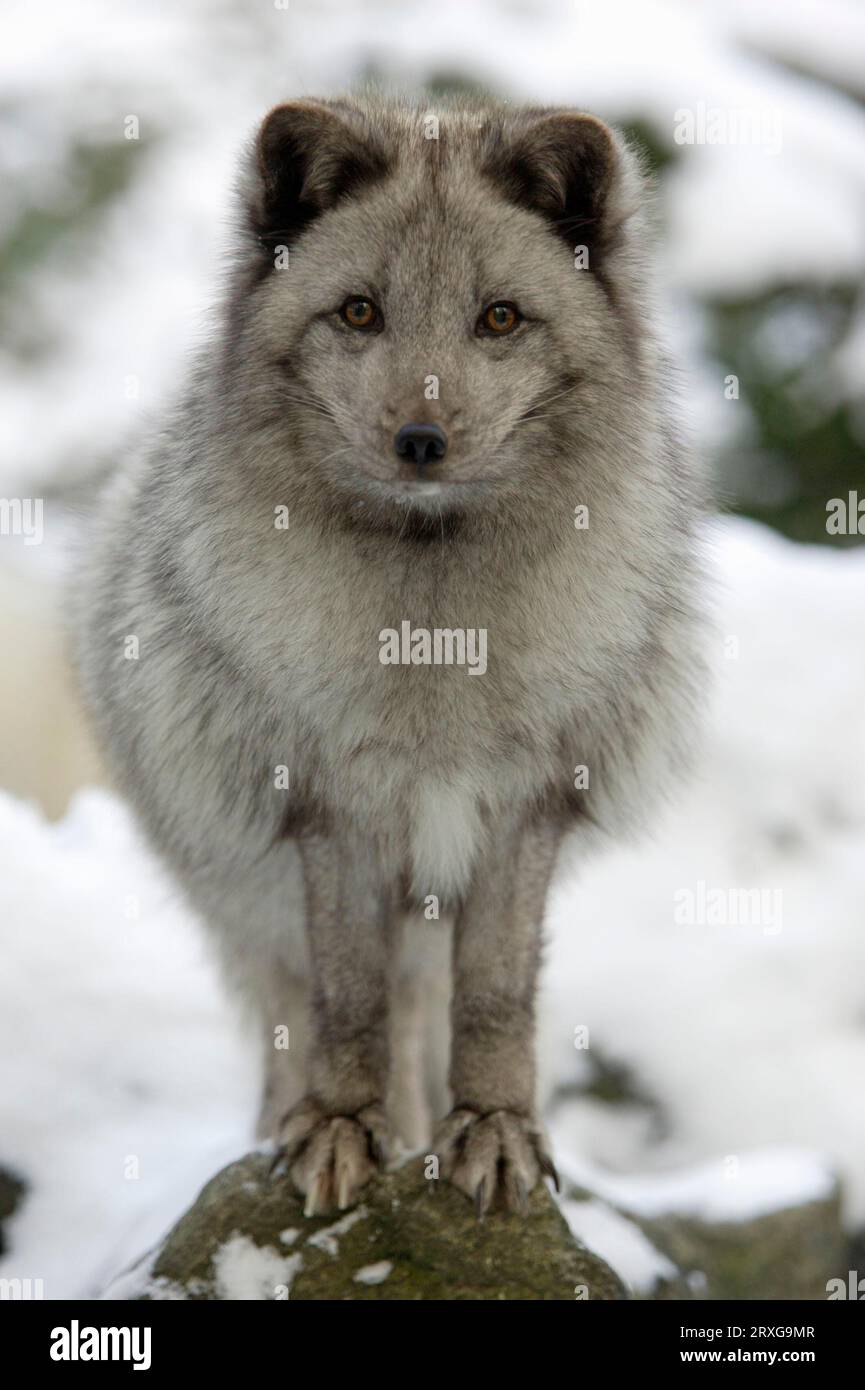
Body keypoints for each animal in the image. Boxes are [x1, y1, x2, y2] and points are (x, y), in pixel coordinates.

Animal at [73, 93, 703, 1219]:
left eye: (498, 318)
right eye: (359, 312)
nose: (419, 440)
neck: (433, 637)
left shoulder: (525, 809)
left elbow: (494, 999)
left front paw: (493, 1129)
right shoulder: (331, 811)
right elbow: (348, 1001)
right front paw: (337, 1129)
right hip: (249, 898)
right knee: (306, 1010)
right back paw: (292, 1124)